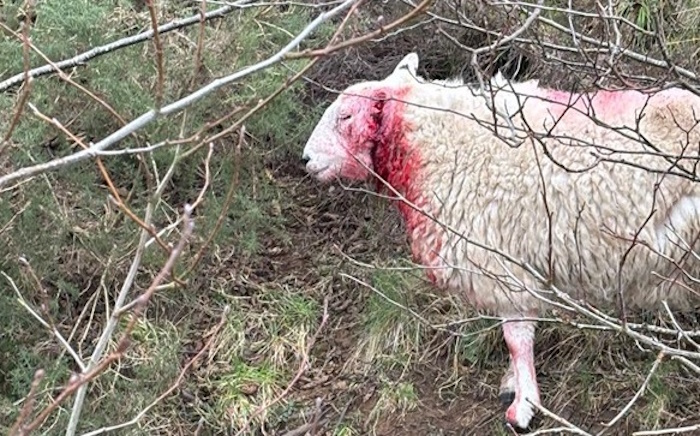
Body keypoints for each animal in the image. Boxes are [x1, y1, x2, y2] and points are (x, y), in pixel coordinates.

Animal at [301, 52, 700, 430]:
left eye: (346, 116)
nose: (305, 159)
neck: (438, 144)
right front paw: (514, 383)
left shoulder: (503, 265)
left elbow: (516, 337)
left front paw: (524, 405)